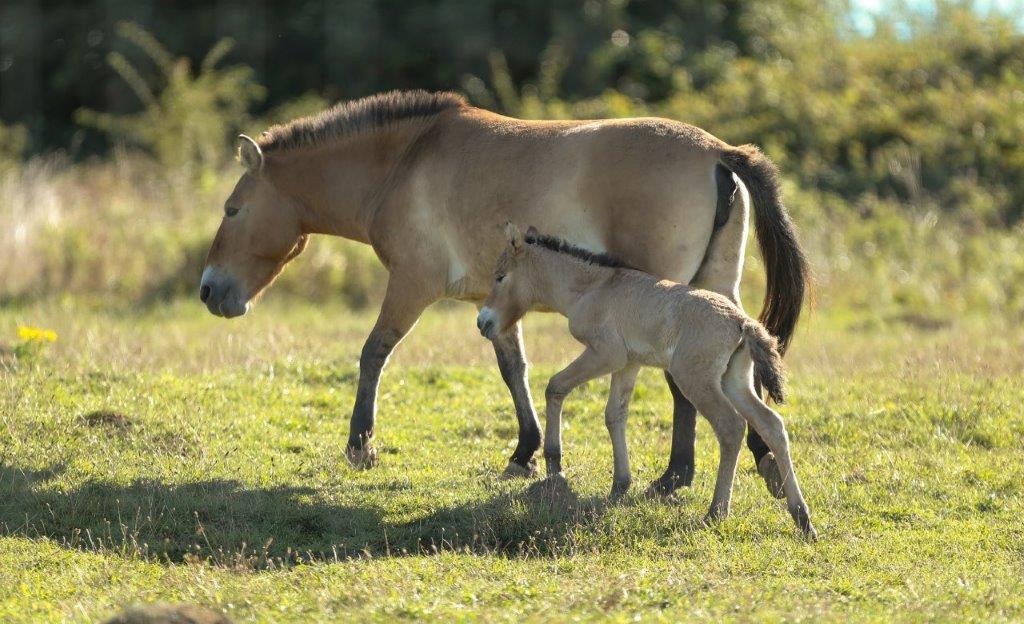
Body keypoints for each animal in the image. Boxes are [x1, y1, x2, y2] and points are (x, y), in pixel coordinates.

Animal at [198, 90, 808, 498]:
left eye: (232, 209)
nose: (207, 290)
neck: (404, 162)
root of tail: (718, 151)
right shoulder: (492, 302)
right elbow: (514, 370)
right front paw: (525, 452)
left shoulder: (411, 285)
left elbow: (374, 352)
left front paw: (360, 444)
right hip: (717, 286)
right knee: (738, 365)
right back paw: (756, 464)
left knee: (686, 380)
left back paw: (676, 475)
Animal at [477, 224, 815, 538]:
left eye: (500, 276)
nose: (483, 322)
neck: (593, 287)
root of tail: (742, 322)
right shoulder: (629, 363)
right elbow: (614, 414)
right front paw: (619, 484)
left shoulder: (606, 354)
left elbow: (555, 386)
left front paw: (554, 466)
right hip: (734, 381)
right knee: (772, 425)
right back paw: (803, 519)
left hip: (696, 380)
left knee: (730, 427)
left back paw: (716, 512)